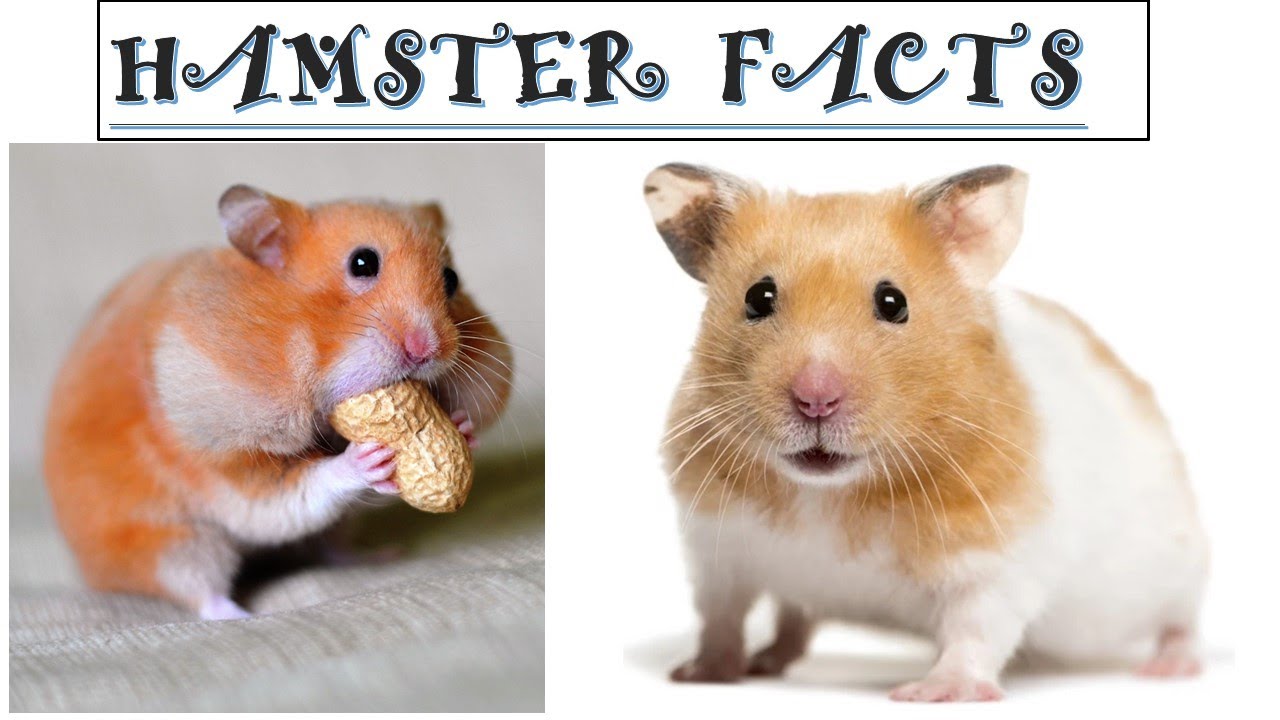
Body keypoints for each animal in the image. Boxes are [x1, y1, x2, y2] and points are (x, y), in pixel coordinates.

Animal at [43, 186, 512, 620]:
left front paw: (463, 429)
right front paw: (366, 459)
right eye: (362, 263)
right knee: (201, 591)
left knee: (331, 548)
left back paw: (380, 555)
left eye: (451, 279)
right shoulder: (227, 468)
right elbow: (295, 493)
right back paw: (243, 614)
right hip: (174, 543)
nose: (426, 350)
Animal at [642, 163, 1208, 701]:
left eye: (893, 303)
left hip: (1176, 564)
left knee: (1183, 617)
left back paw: (1171, 667)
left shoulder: (998, 558)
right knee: (794, 619)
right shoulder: (715, 549)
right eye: (758, 297)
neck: (826, 495)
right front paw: (698, 675)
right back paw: (766, 660)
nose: (815, 399)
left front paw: (932, 693)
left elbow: (975, 629)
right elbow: (721, 617)